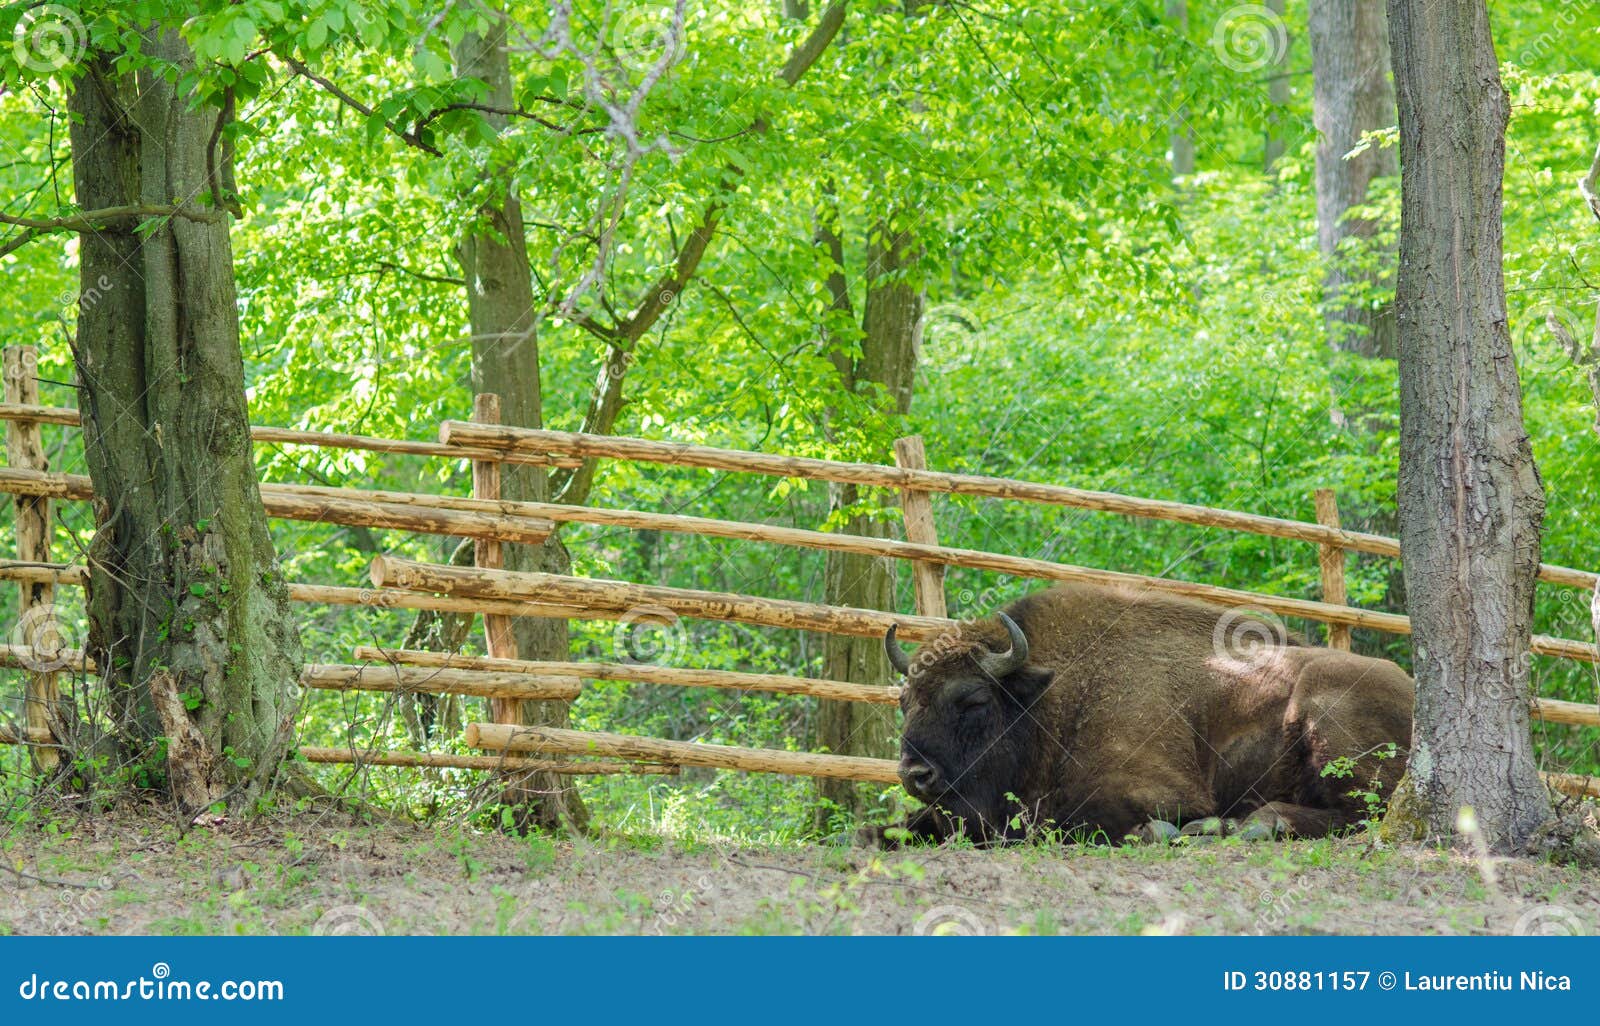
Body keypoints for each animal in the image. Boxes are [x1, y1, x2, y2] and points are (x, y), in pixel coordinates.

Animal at [871, 582, 1413, 844]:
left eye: (974, 701)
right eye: (905, 700)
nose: (914, 773)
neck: (1054, 694)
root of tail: (1412, 690)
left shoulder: (1155, 790)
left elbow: (1066, 822)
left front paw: (1163, 832)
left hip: (1325, 714)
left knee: (1364, 810)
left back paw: (1248, 825)